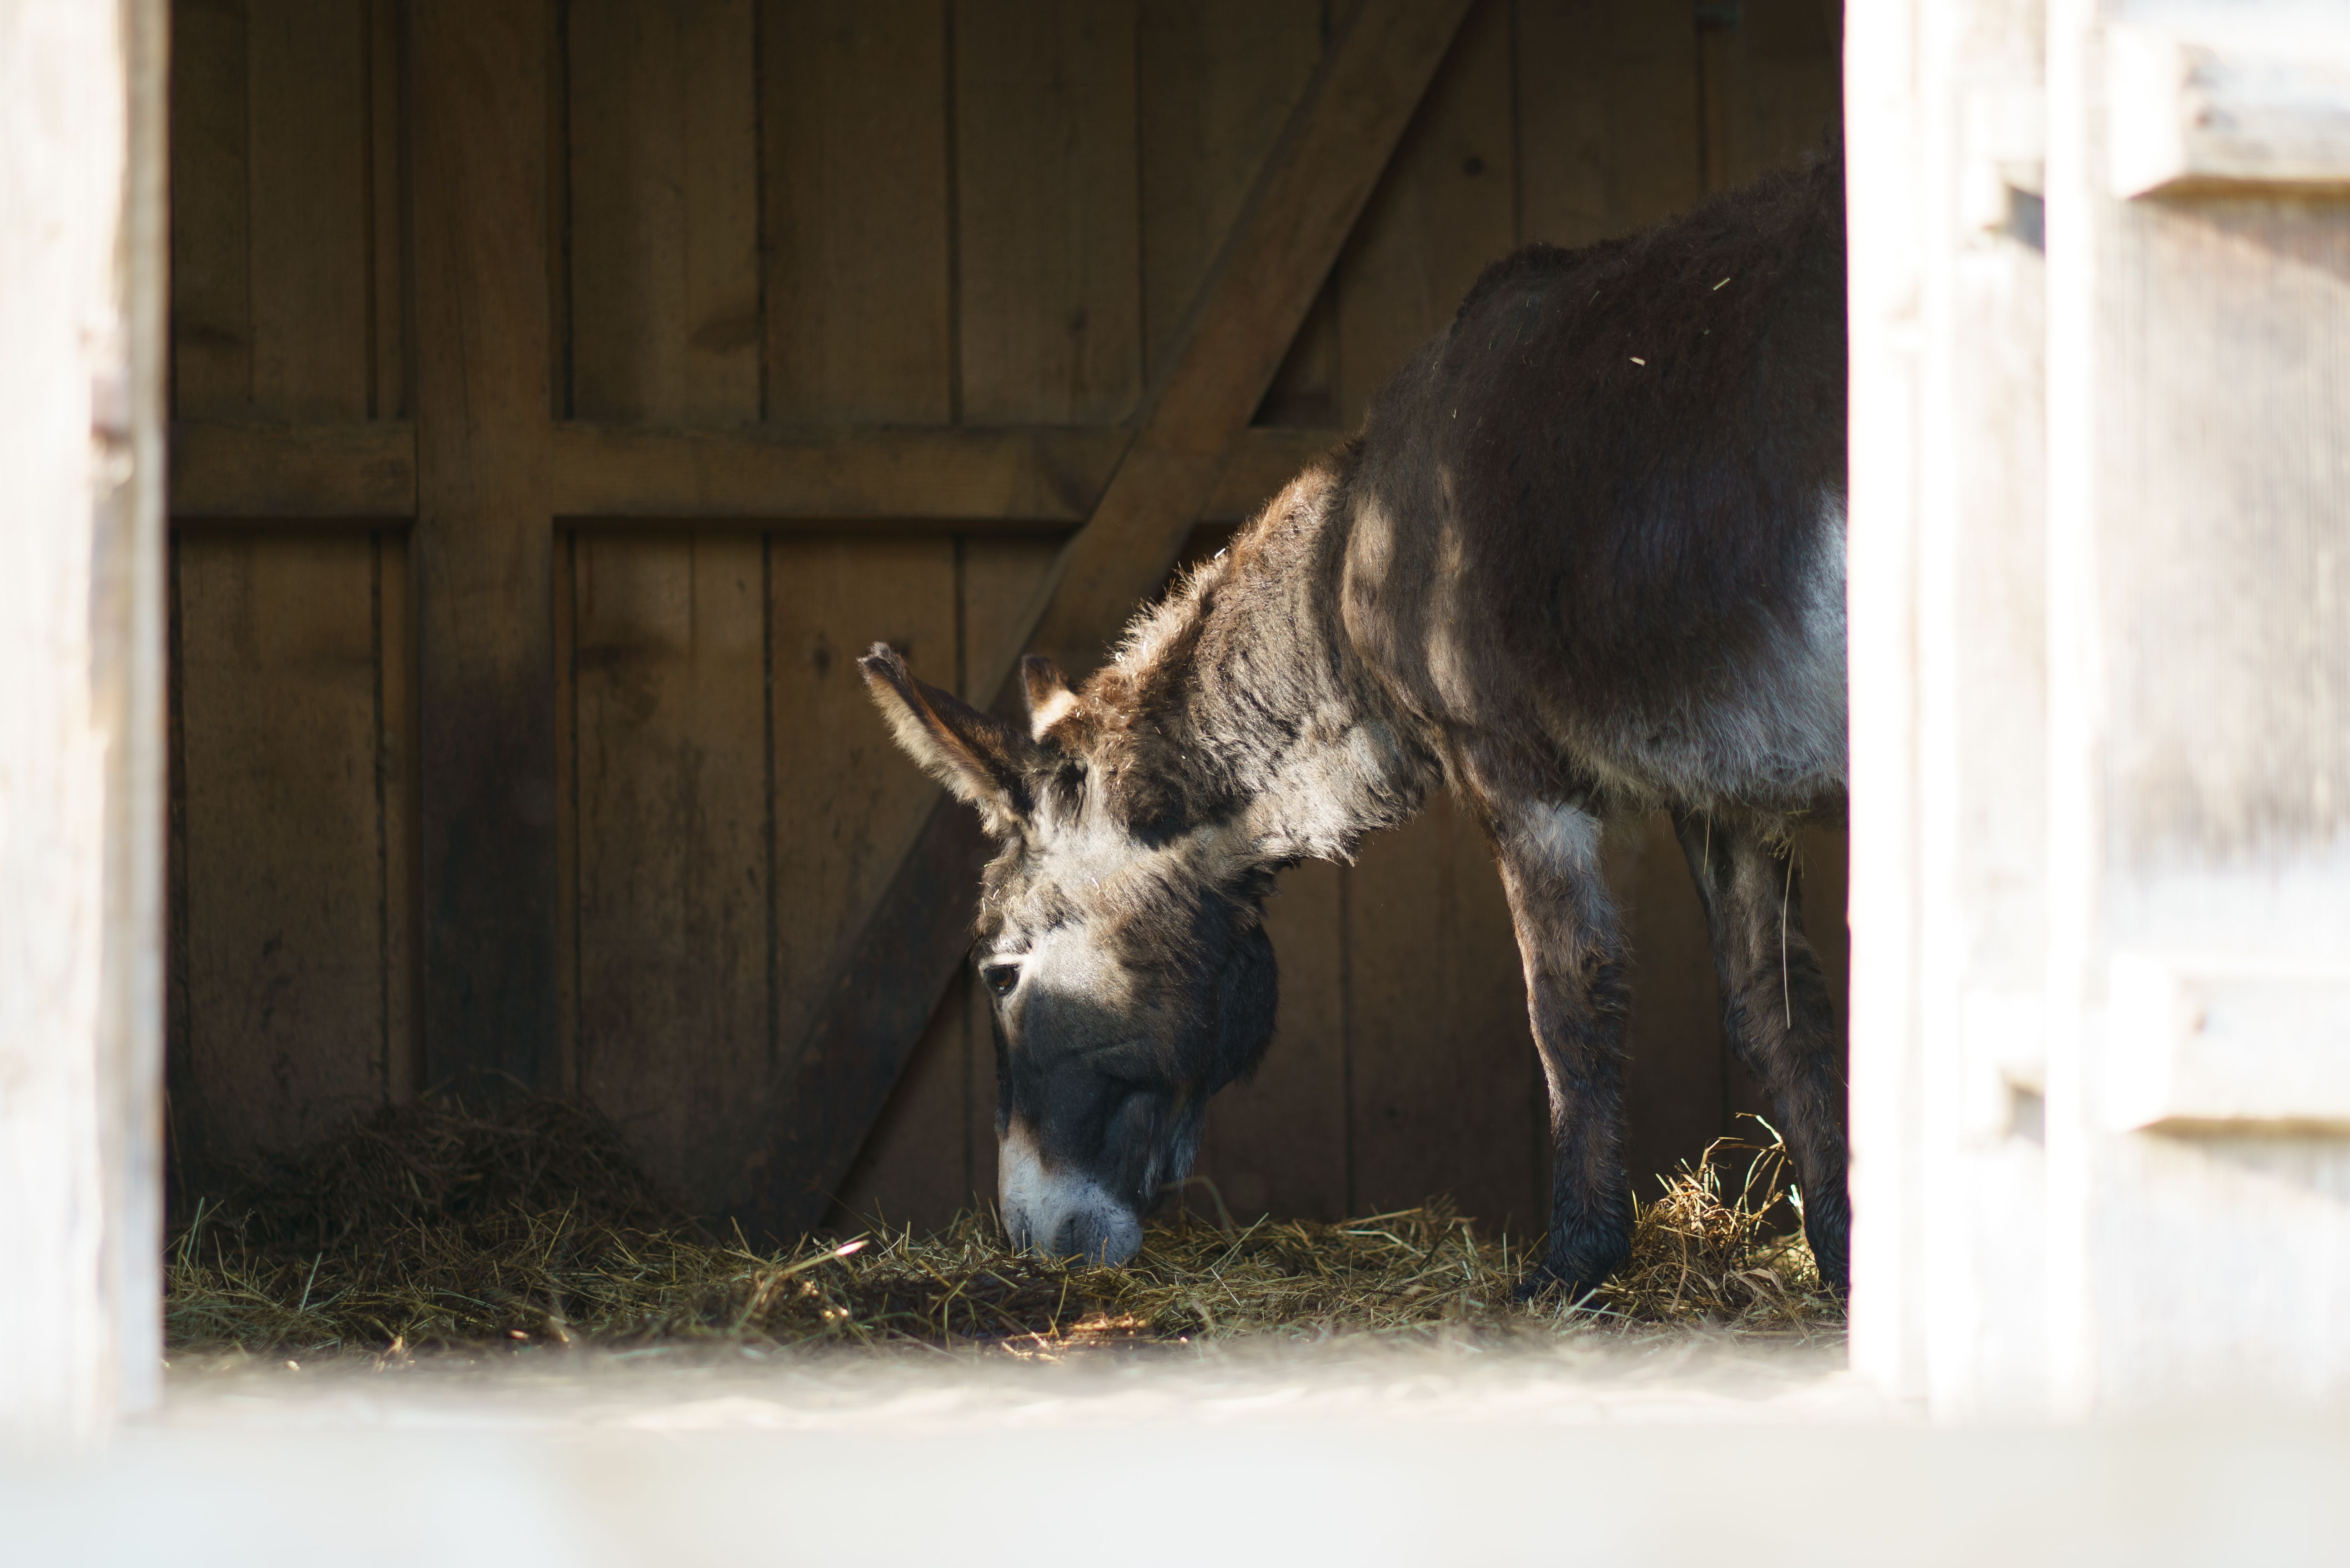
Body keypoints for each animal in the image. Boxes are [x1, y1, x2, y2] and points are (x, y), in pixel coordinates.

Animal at [860, 141, 1850, 1297]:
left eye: (999, 971)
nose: (1028, 1236)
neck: (1349, 554)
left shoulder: (1511, 763)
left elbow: (1569, 1002)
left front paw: (1573, 1267)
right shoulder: (1723, 785)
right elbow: (1779, 1010)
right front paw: (1843, 1257)